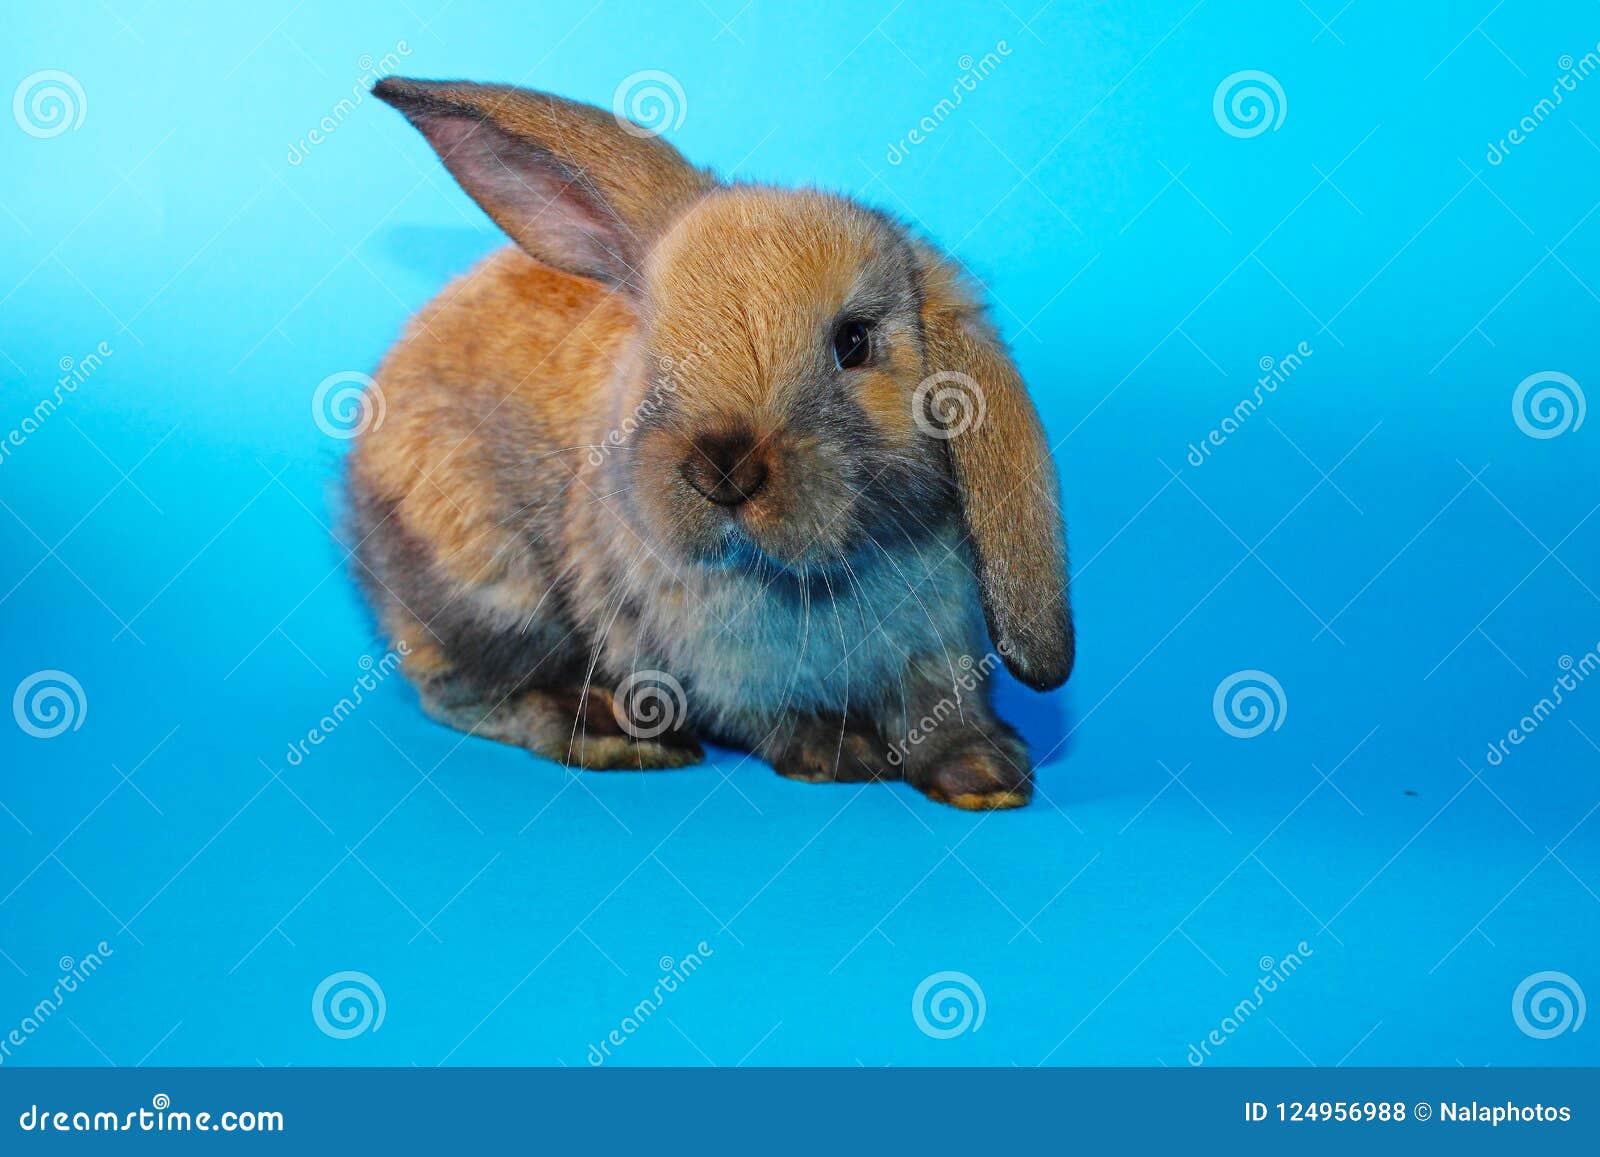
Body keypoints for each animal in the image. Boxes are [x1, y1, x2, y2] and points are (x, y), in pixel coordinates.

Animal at [347, 77, 1074, 810]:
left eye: (854, 342)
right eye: (657, 348)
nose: (724, 467)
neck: (808, 582)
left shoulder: (940, 642)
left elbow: (939, 704)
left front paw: (984, 775)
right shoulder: (704, 665)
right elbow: (765, 714)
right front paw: (840, 752)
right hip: (492, 591)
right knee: (458, 689)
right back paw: (607, 733)